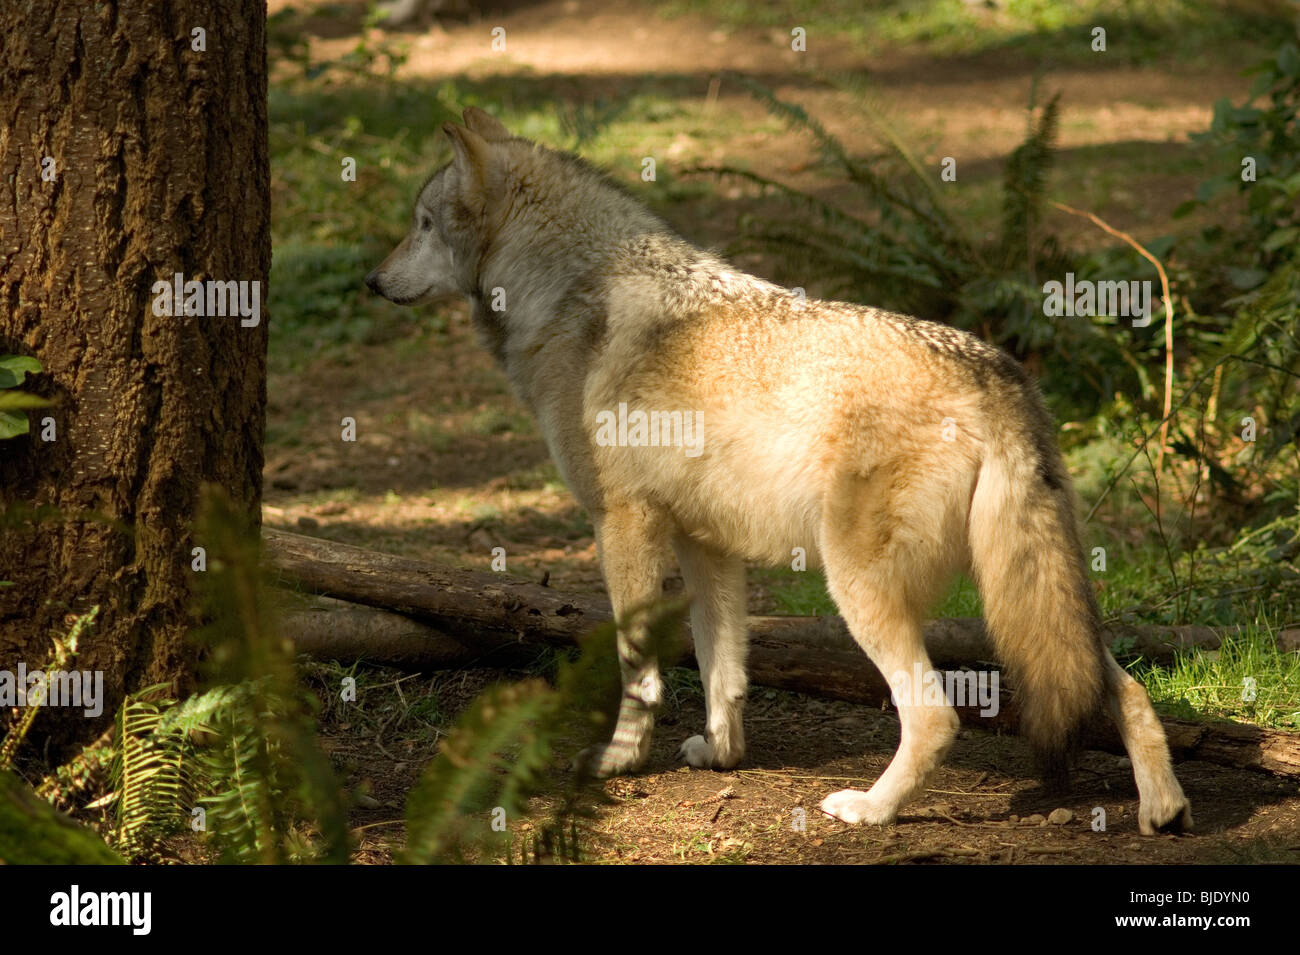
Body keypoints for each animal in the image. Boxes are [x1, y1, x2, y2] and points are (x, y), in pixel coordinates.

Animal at [366, 108, 1193, 834]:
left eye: (423, 223)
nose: (373, 282)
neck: (570, 291)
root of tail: (994, 372)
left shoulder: (620, 525)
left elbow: (639, 668)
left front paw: (619, 761)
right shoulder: (706, 544)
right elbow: (722, 664)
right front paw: (721, 754)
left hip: (862, 589)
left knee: (933, 715)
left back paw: (869, 809)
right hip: (1026, 599)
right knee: (1121, 685)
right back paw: (1163, 808)